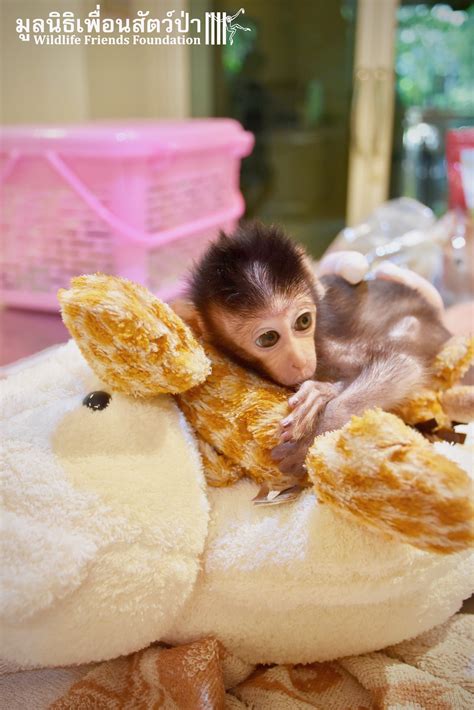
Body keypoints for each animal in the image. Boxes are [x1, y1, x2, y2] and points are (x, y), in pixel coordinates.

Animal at [181, 221, 451, 476]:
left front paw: (314, 431)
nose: (300, 361)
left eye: (303, 322)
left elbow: (405, 365)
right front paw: (321, 393)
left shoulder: (325, 340)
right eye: (268, 338)